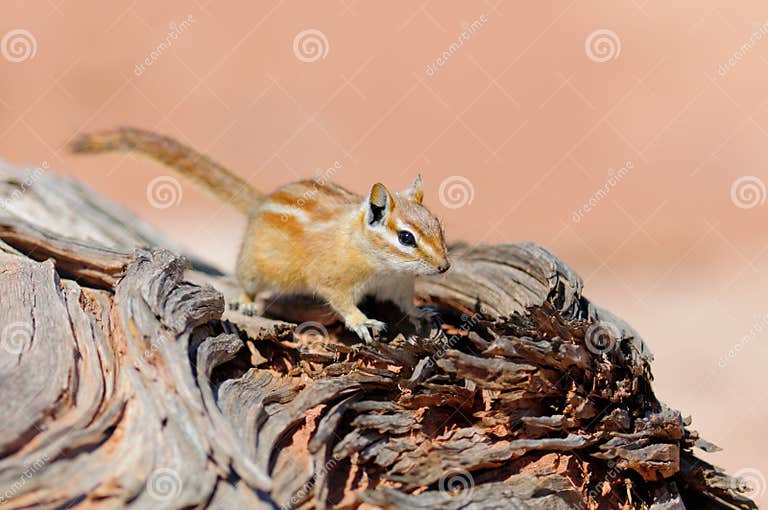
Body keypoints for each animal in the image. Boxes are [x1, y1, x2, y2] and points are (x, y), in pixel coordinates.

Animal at [70, 127, 450, 343]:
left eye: (439, 227)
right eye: (406, 238)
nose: (444, 267)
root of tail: (260, 202)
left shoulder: (397, 283)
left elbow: (405, 303)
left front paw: (421, 314)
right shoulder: (334, 278)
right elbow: (341, 301)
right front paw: (362, 321)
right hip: (253, 266)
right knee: (247, 282)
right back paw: (247, 302)